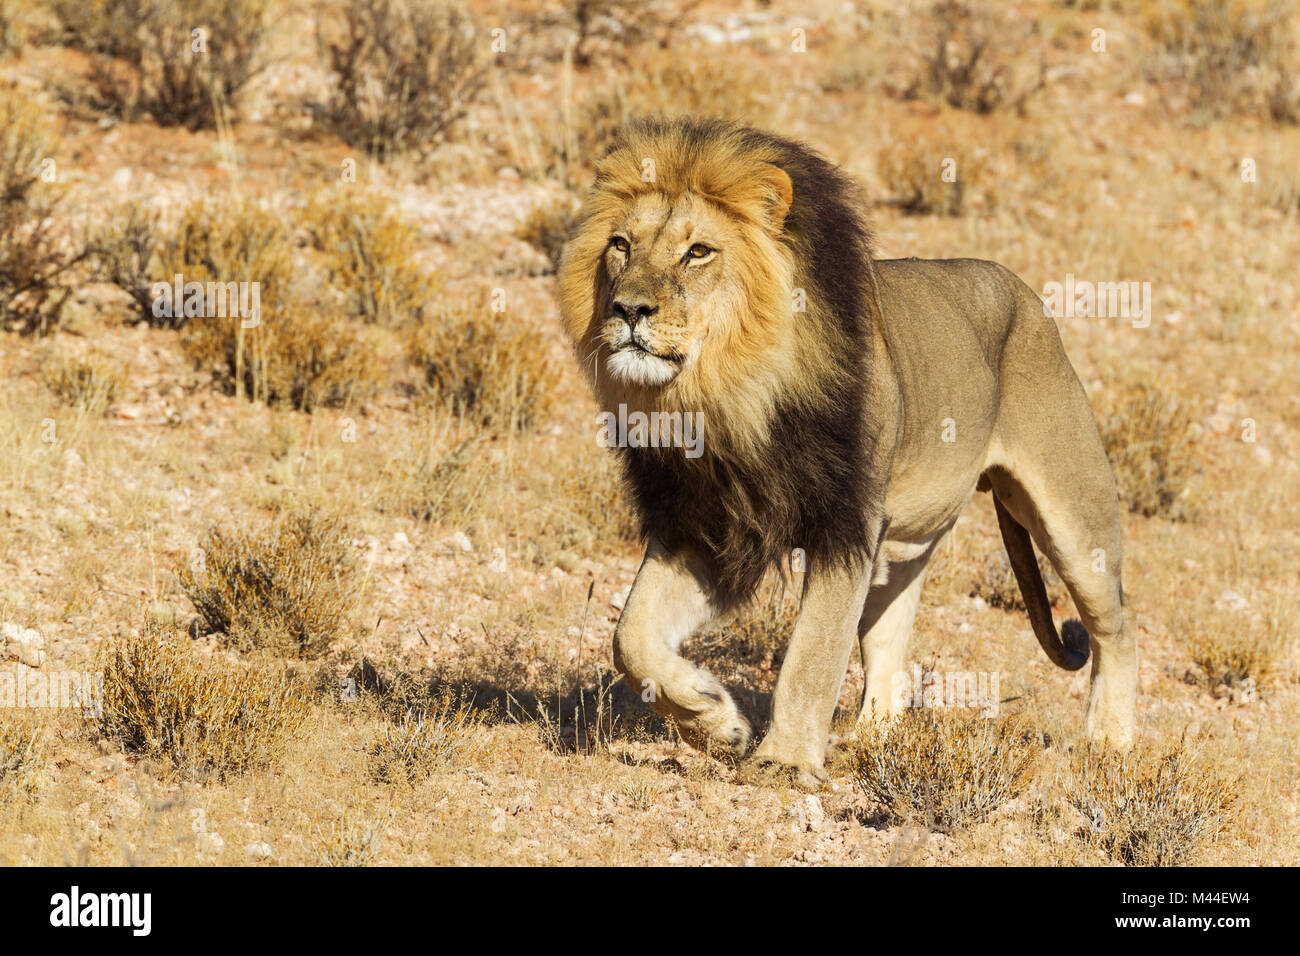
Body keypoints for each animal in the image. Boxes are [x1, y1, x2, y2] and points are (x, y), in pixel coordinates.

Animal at [557, 117, 1137, 788]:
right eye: (621, 245)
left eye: (697, 252)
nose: (627, 308)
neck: (730, 395)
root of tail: (1025, 294)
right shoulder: (706, 529)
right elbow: (631, 636)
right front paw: (715, 721)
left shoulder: (847, 525)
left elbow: (812, 653)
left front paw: (784, 761)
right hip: (906, 541)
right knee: (889, 637)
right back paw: (869, 740)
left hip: (1073, 514)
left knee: (1117, 626)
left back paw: (1110, 744)